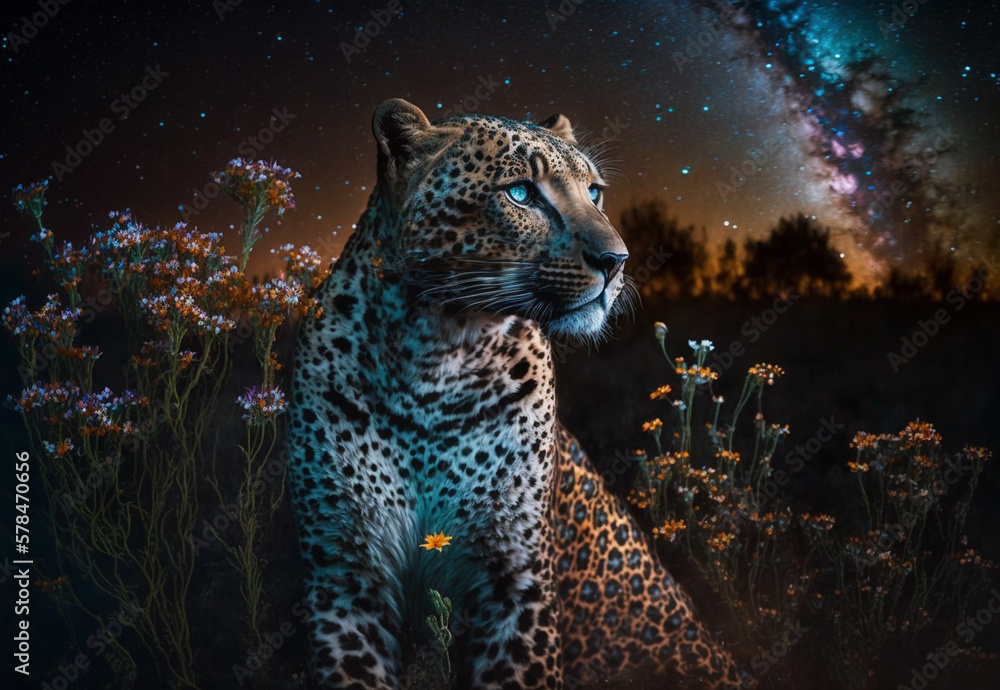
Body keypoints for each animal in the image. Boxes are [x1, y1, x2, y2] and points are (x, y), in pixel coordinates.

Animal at [286, 98, 744, 689]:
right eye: (521, 193)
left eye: (594, 193)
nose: (617, 261)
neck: (434, 359)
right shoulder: (344, 573)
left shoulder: (516, 576)